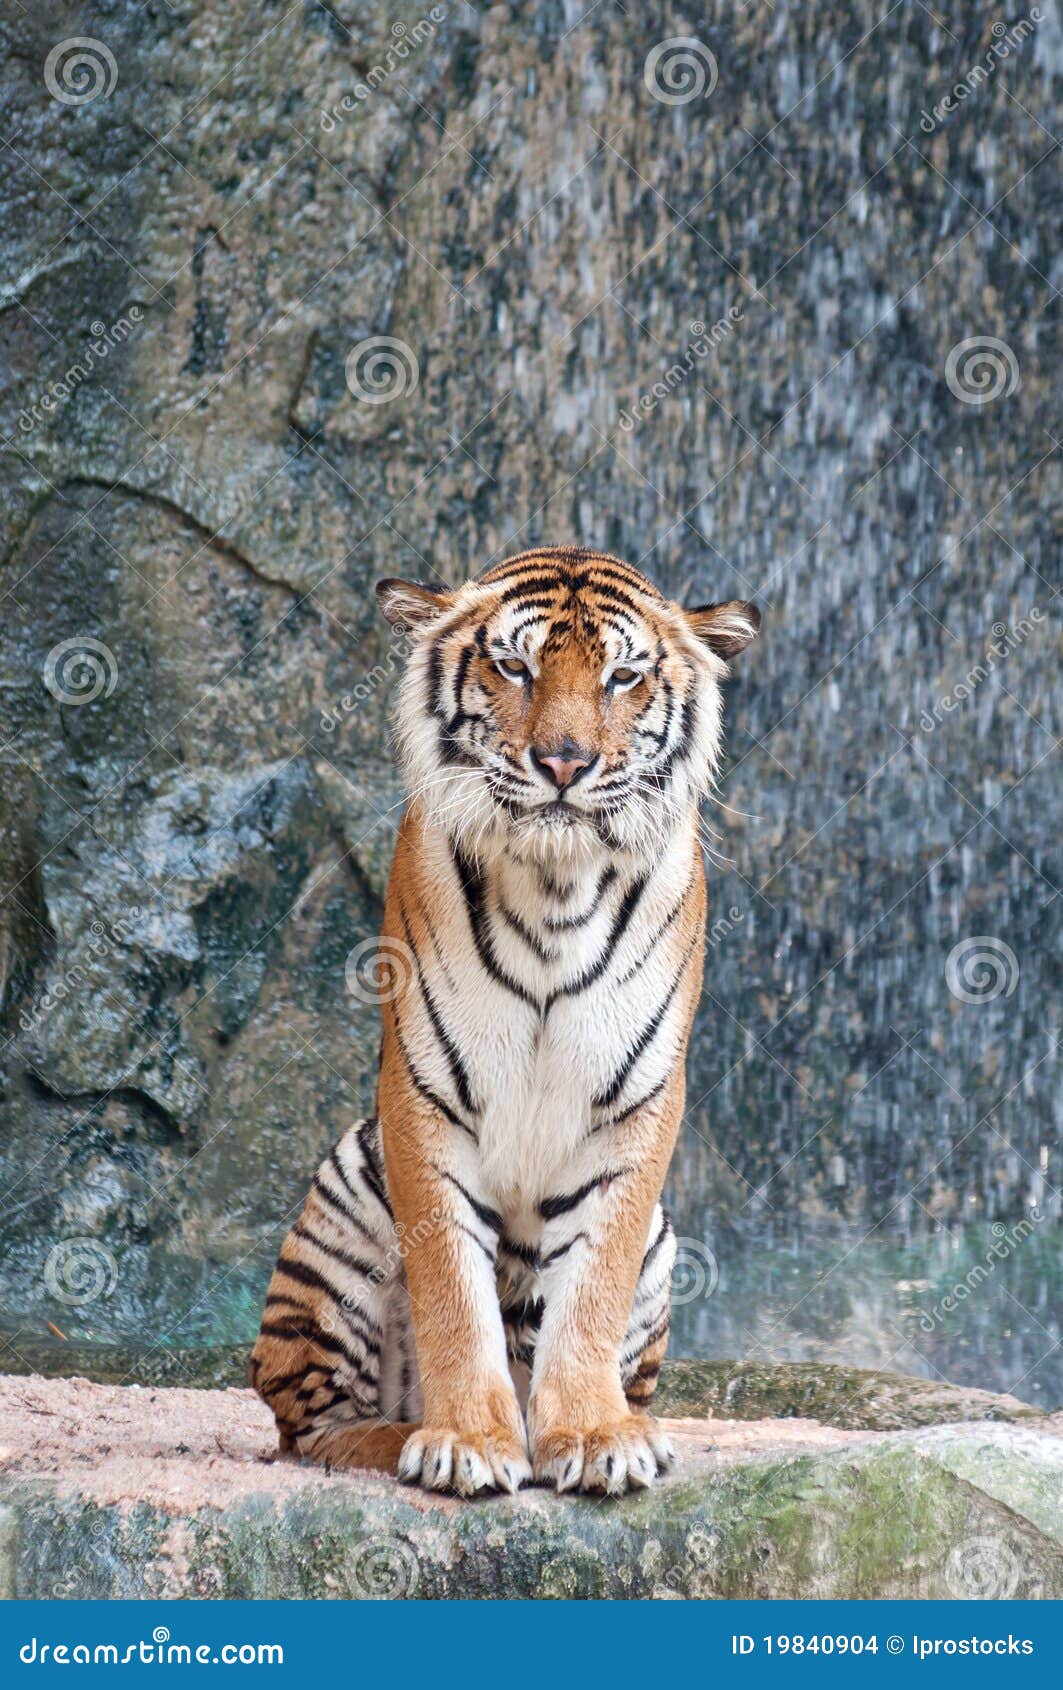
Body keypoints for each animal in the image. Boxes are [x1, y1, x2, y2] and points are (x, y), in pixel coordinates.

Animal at [250, 545, 760, 1495]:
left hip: (664, 1240)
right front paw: (467, 1441)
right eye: (515, 667)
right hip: (342, 1200)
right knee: (315, 1427)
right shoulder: (422, 1094)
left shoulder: (636, 1103)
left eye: (622, 676)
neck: (555, 886)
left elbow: (591, 1288)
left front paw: (596, 1436)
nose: (563, 762)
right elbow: (452, 1288)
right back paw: (404, 1439)